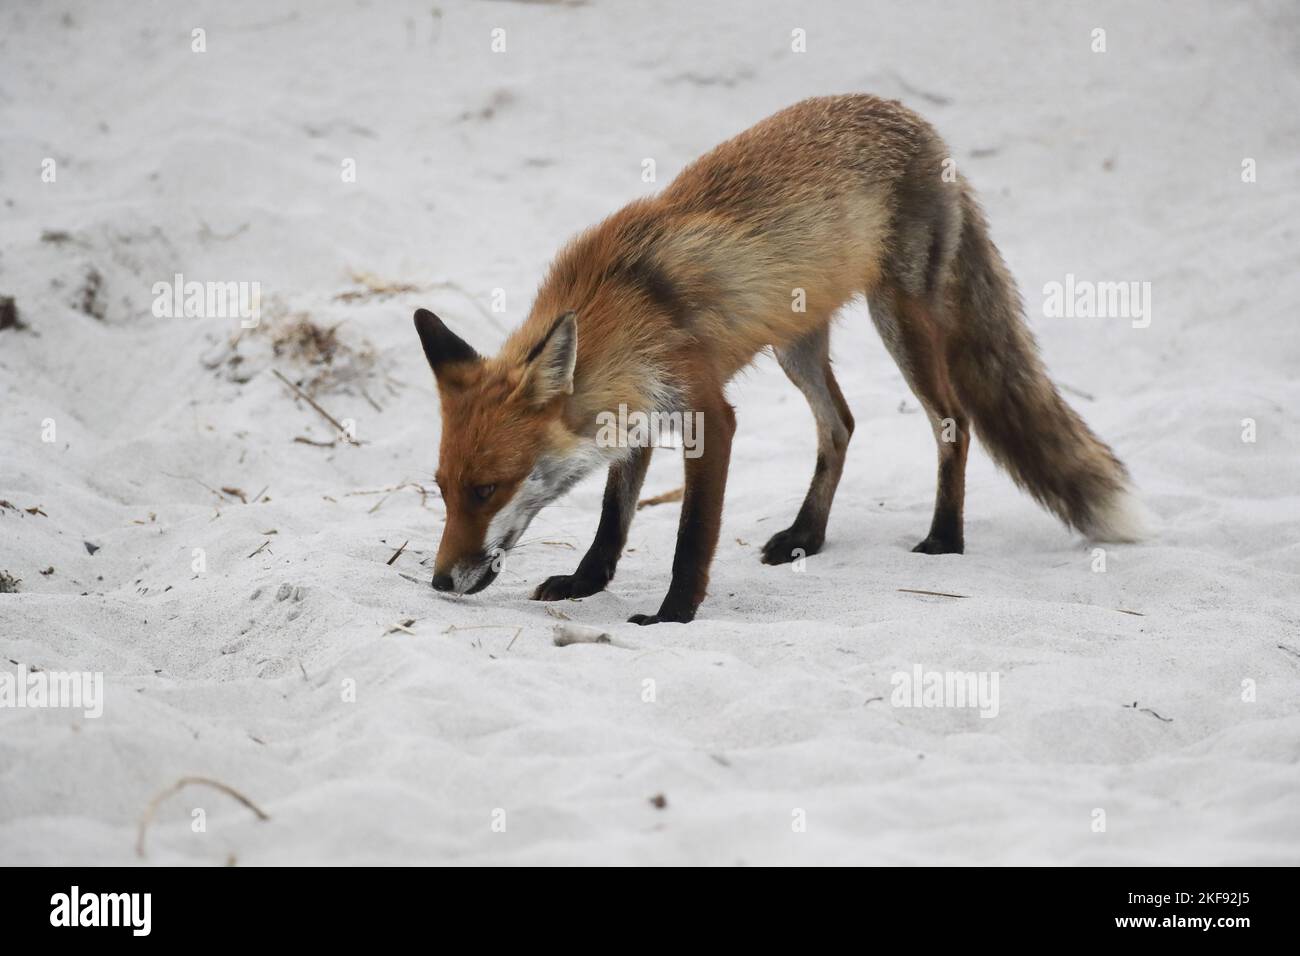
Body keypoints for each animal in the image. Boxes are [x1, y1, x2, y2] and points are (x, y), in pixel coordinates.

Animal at [414, 94, 1143, 625]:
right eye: (443, 489)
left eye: (486, 490)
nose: (442, 580)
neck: (619, 304)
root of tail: (912, 117)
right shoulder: (639, 408)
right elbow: (612, 519)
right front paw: (586, 582)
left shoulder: (706, 412)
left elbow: (691, 535)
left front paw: (673, 616)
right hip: (797, 344)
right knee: (841, 424)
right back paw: (806, 536)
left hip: (899, 318)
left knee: (953, 421)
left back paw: (944, 538)